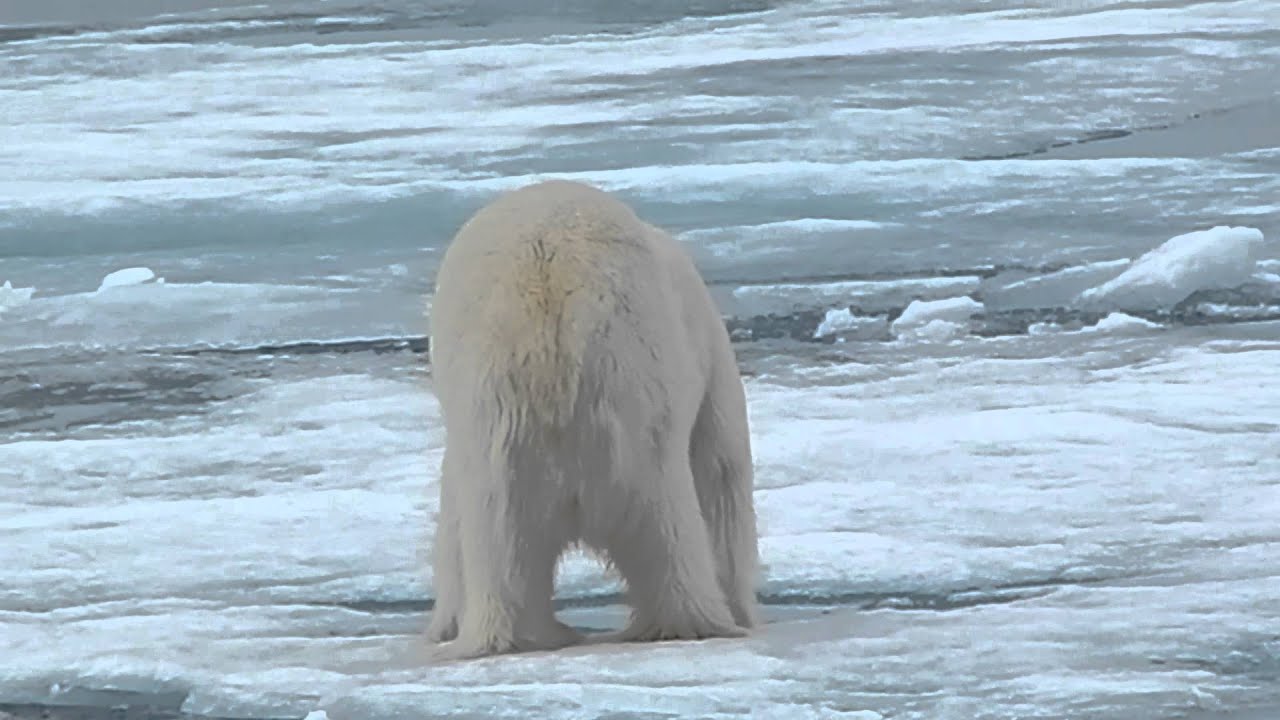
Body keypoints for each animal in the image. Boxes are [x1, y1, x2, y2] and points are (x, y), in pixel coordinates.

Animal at [426, 179, 759, 660]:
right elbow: (722, 469)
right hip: (632, 402)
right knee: (666, 518)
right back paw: (688, 620)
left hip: (500, 427)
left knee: (500, 535)